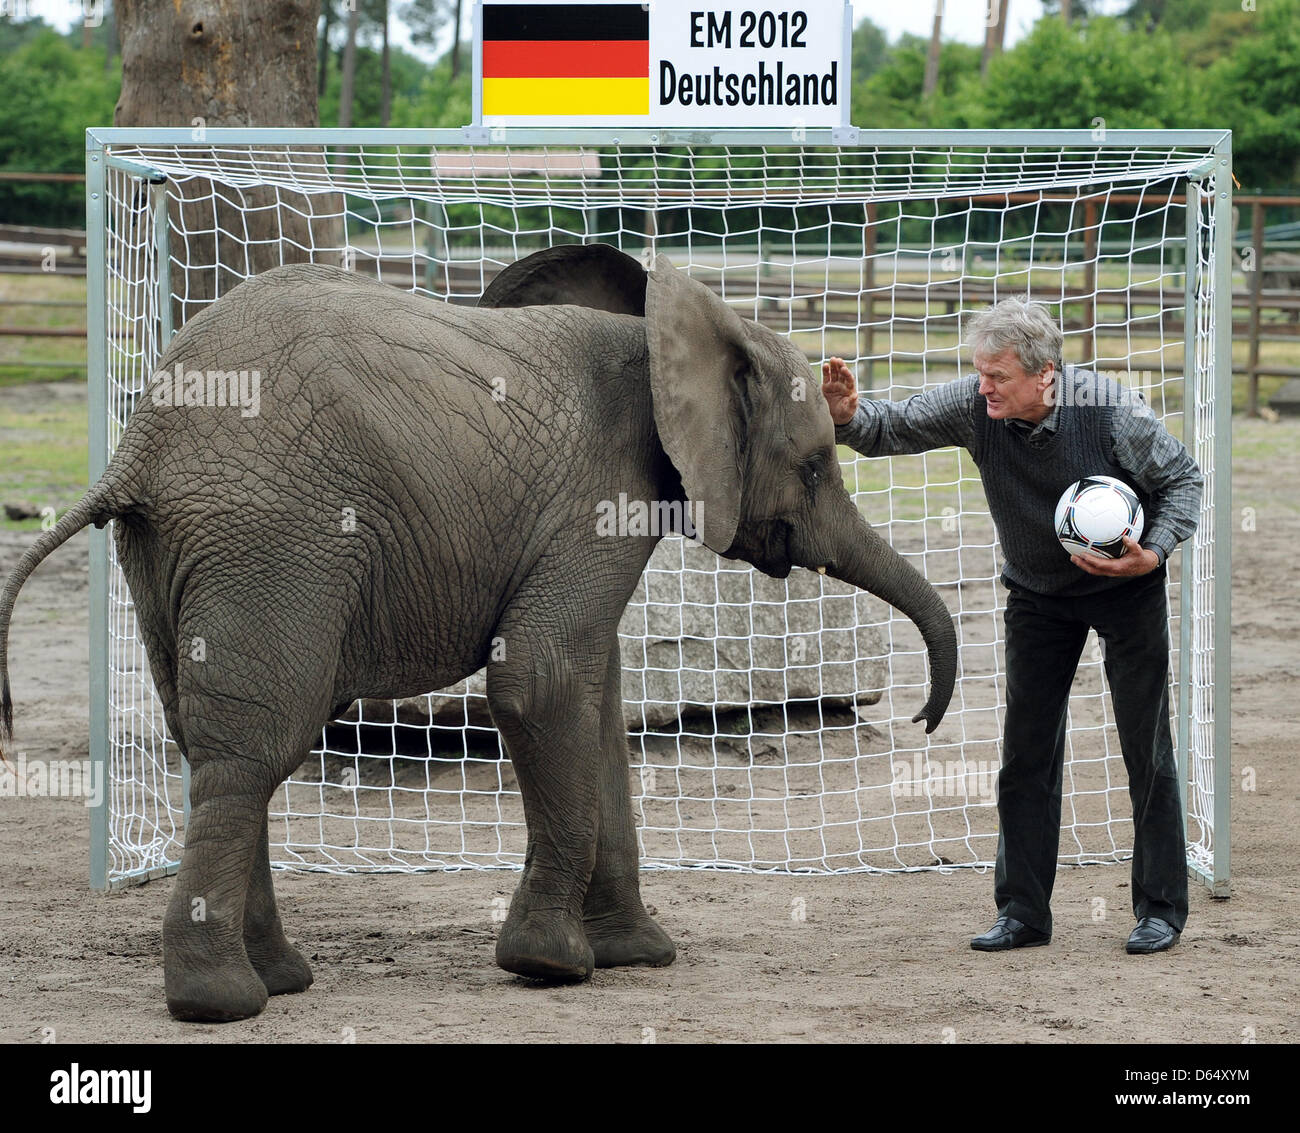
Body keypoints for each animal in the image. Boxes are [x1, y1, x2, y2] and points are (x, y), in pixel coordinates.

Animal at [0, 243, 957, 1022]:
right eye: (816, 466)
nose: (922, 719)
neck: (672, 332)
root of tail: (138, 450)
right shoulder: (597, 496)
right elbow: (541, 681)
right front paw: (552, 966)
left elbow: (597, 699)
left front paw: (638, 956)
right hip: (273, 535)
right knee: (257, 744)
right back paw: (223, 1003)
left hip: (173, 554)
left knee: (215, 741)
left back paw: (283, 980)